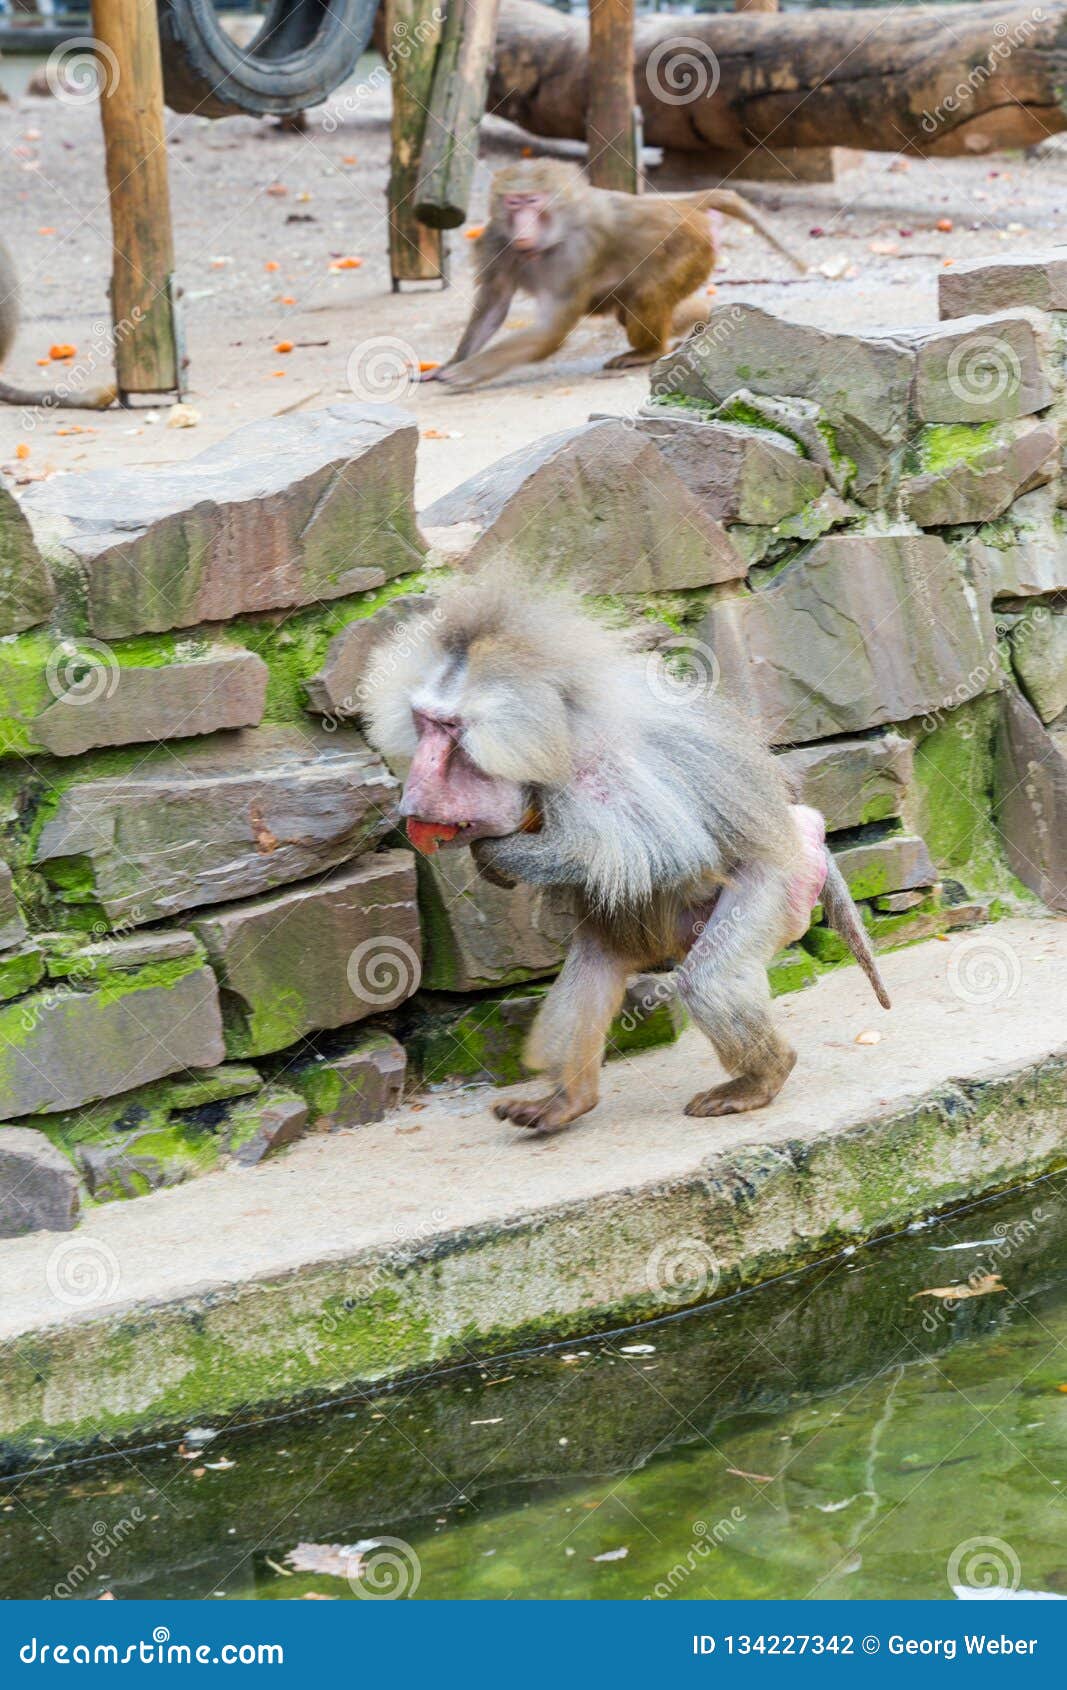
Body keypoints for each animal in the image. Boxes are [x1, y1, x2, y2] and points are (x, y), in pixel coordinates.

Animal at [365, 576, 889, 1134]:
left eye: (448, 729)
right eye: (422, 722)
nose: (412, 800)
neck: (554, 728)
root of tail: (803, 829)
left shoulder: (600, 765)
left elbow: (674, 853)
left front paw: (493, 855)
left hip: (779, 881)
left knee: (708, 981)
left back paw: (759, 1081)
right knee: (595, 963)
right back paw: (564, 1102)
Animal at [420, 159, 806, 391]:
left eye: (533, 201)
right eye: (513, 203)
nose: (523, 227)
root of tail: (680, 204)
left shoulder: (576, 254)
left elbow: (550, 332)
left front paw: (468, 371)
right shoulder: (498, 241)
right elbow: (494, 306)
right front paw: (453, 362)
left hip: (691, 249)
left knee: (645, 297)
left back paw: (649, 351)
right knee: (632, 308)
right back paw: (698, 320)